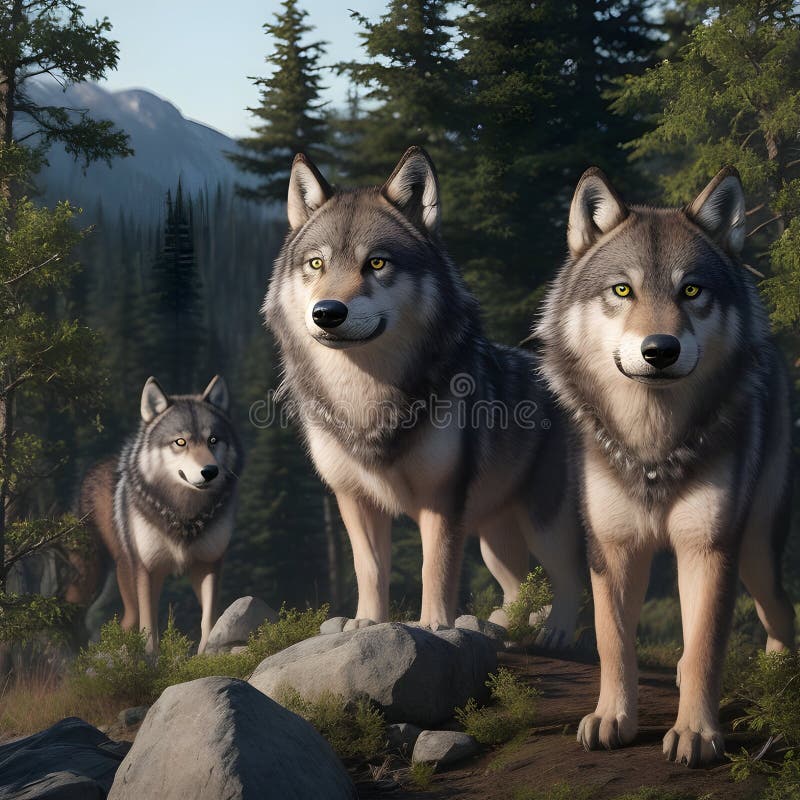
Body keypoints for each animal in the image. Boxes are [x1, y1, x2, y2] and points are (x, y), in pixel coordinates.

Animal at [79, 375, 243, 653]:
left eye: (213, 440)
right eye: (181, 442)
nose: (210, 471)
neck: (184, 514)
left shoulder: (209, 564)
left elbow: (208, 621)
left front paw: (205, 656)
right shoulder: (148, 571)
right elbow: (149, 631)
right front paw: (150, 660)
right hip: (126, 581)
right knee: (127, 624)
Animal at [264, 146, 584, 639]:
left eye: (377, 263)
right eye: (317, 264)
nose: (326, 313)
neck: (366, 399)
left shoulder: (442, 495)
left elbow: (435, 565)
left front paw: (434, 624)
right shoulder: (352, 498)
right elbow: (369, 567)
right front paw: (366, 622)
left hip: (545, 523)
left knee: (572, 580)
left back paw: (559, 633)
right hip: (493, 539)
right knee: (518, 590)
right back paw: (503, 626)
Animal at [535, 166, 795, 766]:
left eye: (691, 290)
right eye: (622, 289)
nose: (660, 349)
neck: (653, 449)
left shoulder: (709, 546)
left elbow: (705, 646)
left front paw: (697, 733)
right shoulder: (611, 549)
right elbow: (613, 641)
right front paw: (613, 719)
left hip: (756, 550)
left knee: (780, 613)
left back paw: (777, 674)